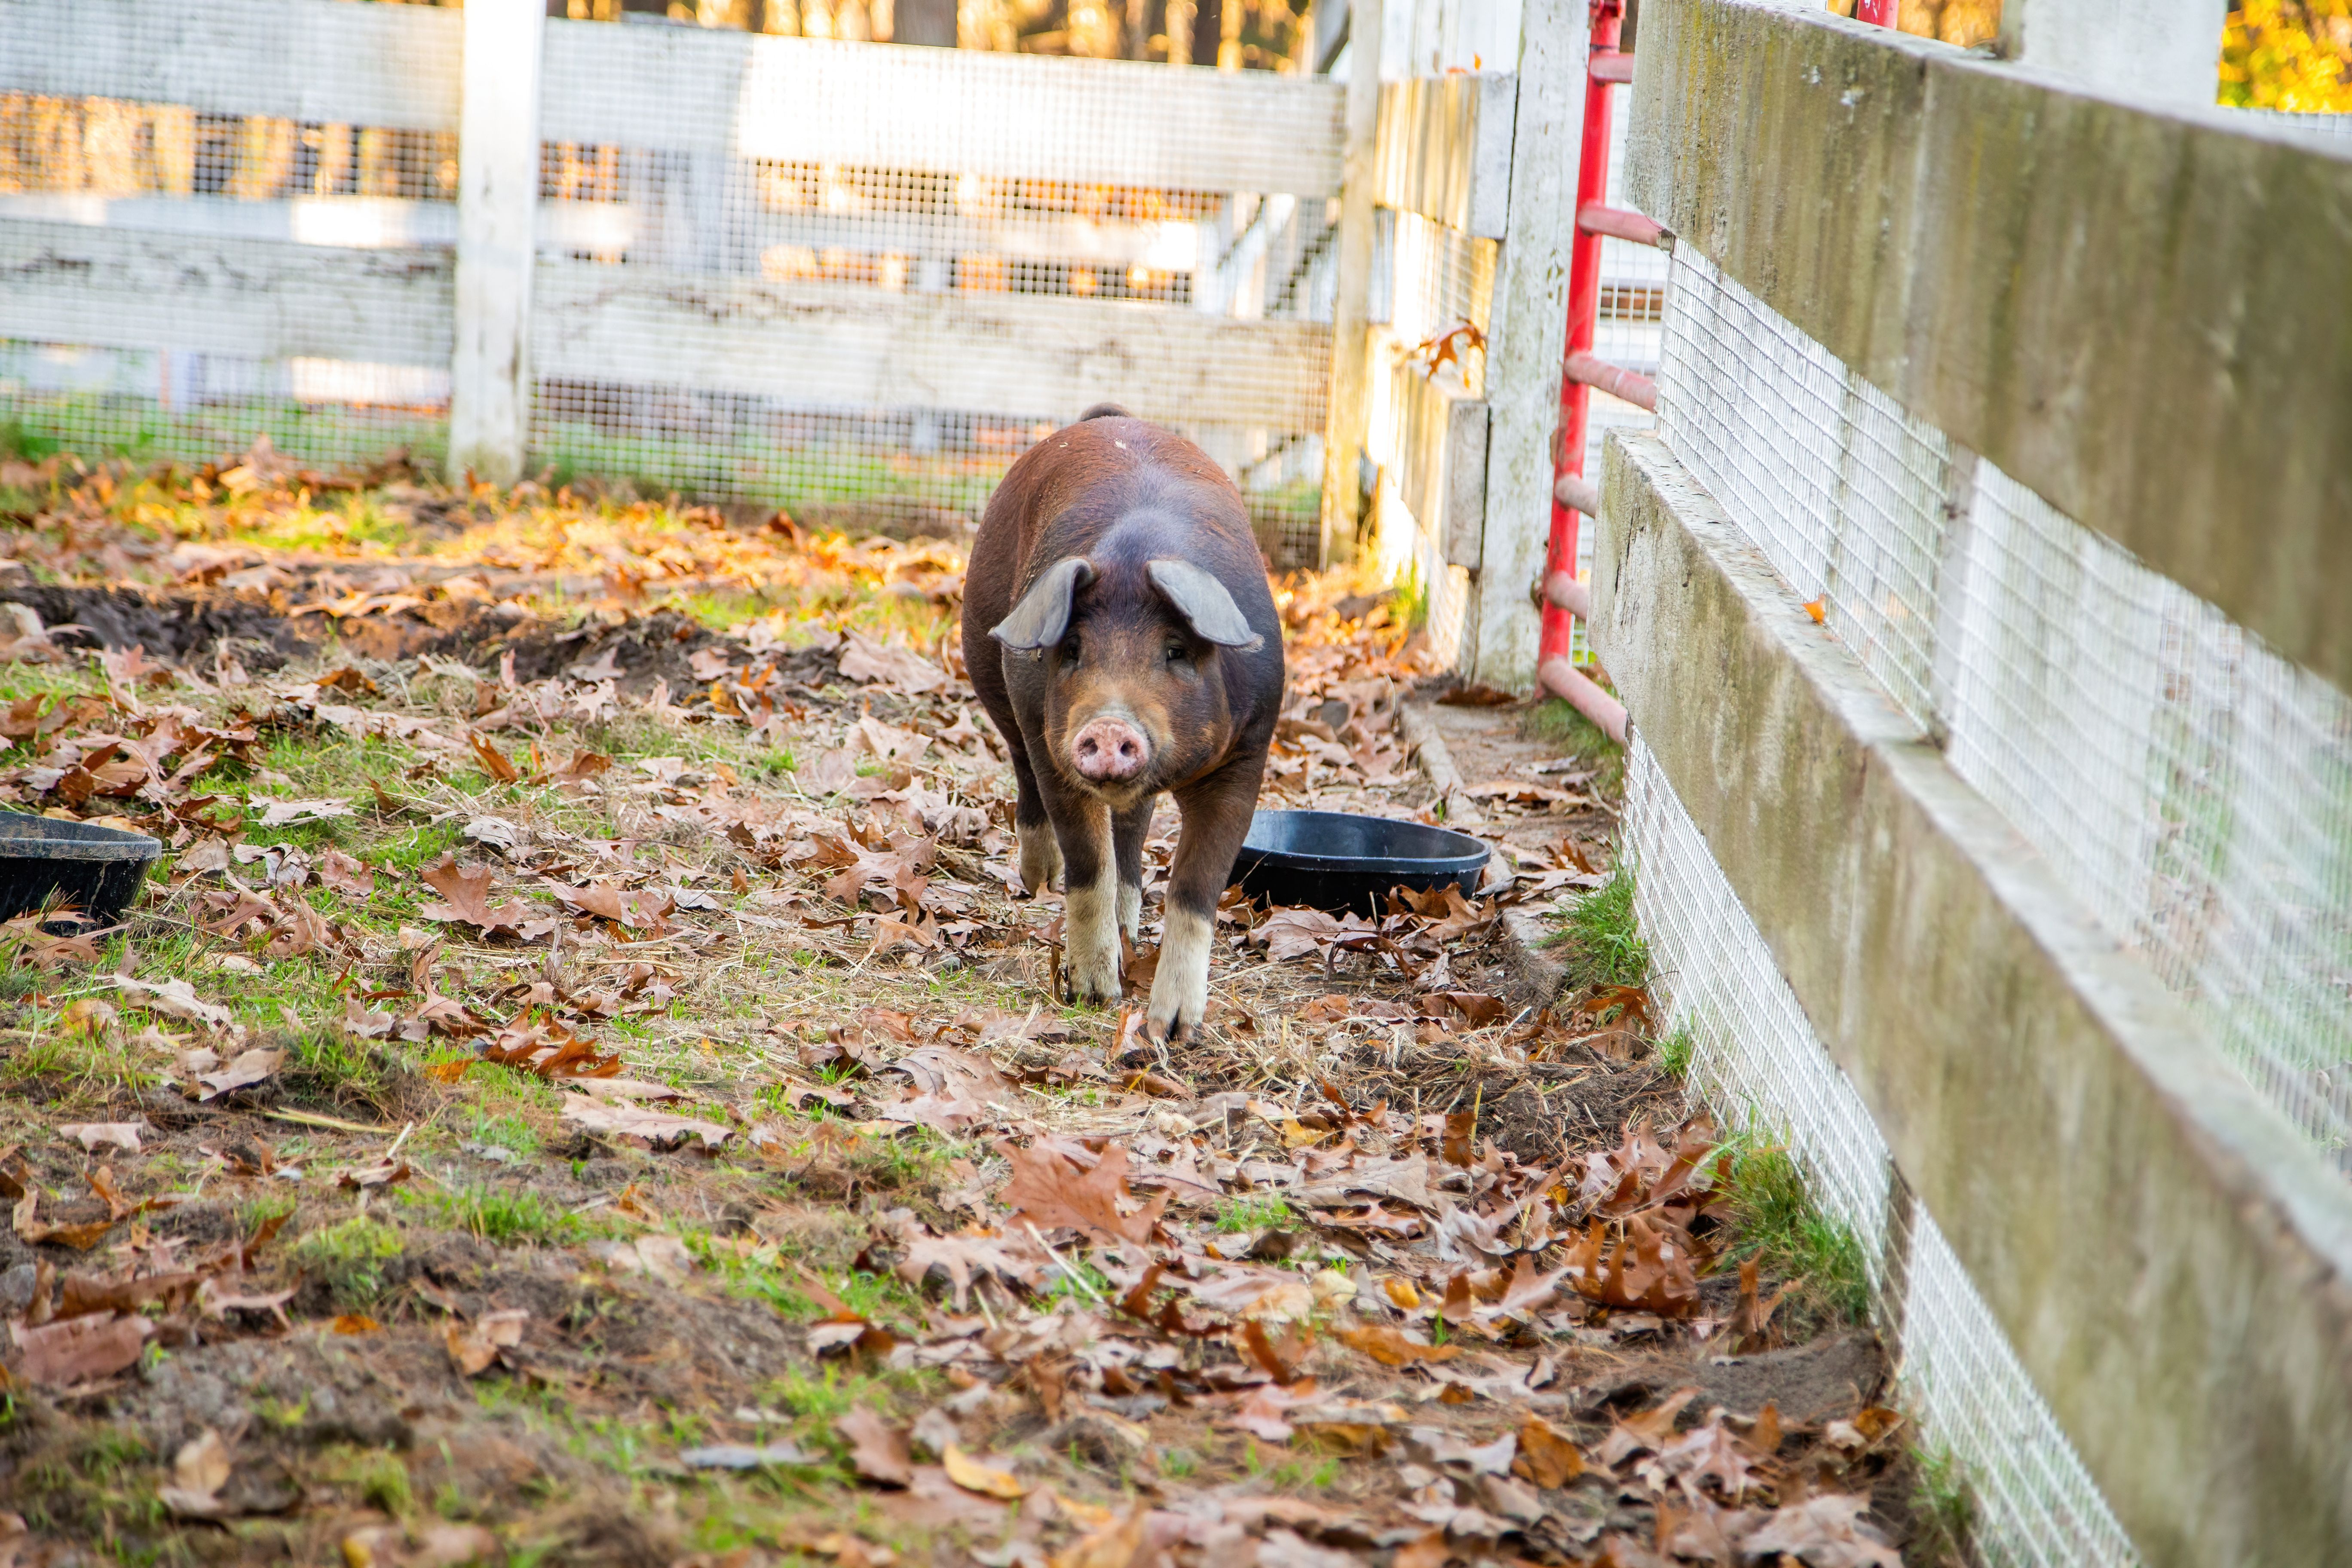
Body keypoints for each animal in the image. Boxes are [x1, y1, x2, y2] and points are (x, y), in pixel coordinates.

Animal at [962, 406, 1283, 1044]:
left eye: (1177, 650)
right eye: (1074, 650)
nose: (1110, 725)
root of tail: (1110, 419)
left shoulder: (1249, 752)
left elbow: (1196, 889)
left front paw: (1174, 1030)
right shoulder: (1056, 750)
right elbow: (1088, 862)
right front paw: (1095, 995)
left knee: (1132, 828)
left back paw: (1129, 926)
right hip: (992, 662)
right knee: (1022, 764)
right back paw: (1038, 880)